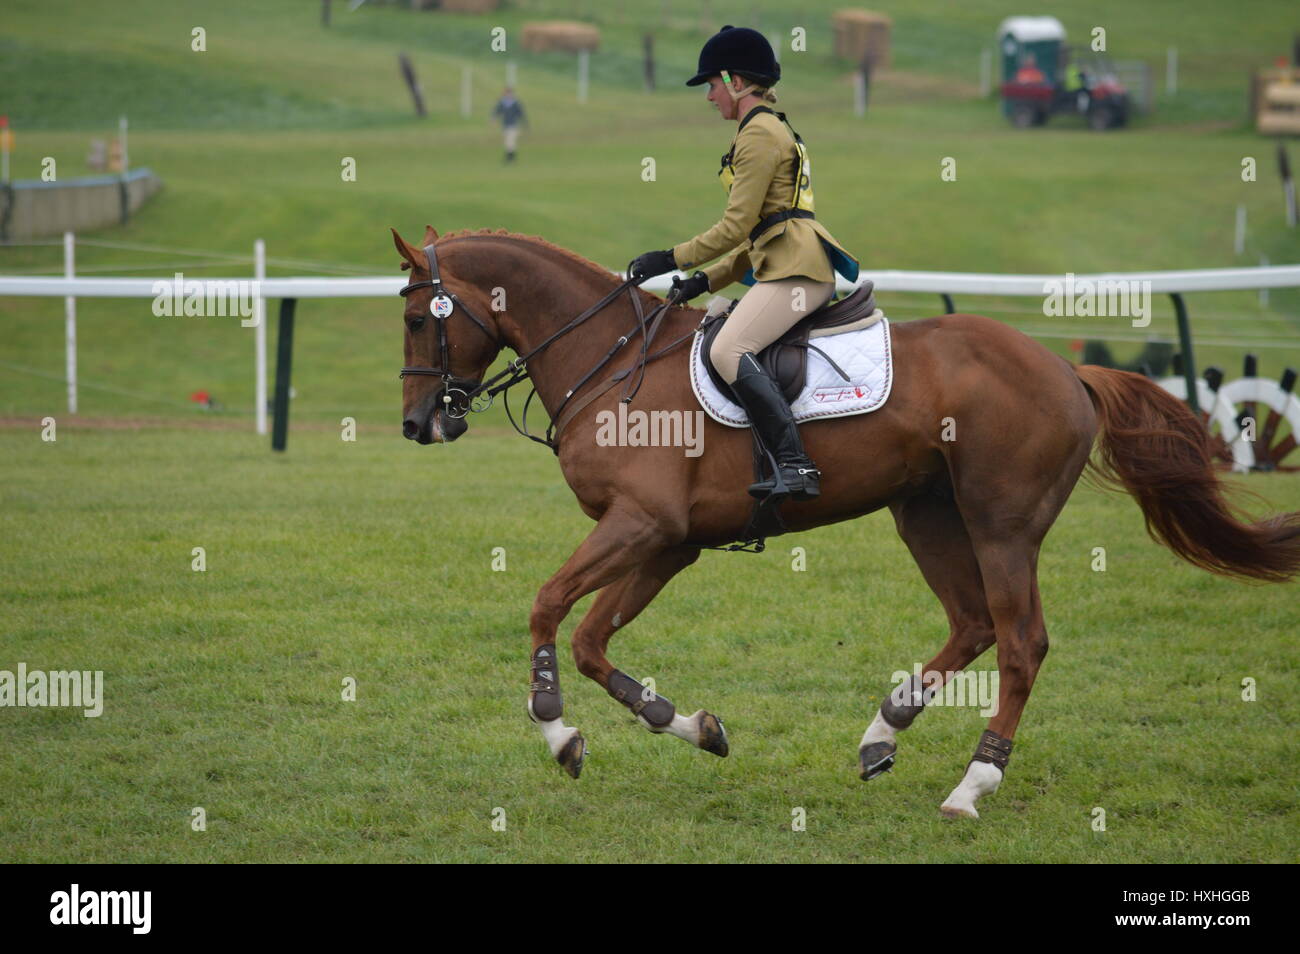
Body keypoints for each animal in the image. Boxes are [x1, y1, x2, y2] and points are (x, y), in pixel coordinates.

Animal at [391, 225, 1300, 819]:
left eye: (412, 318)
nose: (415, 426)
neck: (610, 359)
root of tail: (1069, 370)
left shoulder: (641, 527)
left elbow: (548, 607)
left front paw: (556, 730)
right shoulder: (669, 543)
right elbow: (589, 640)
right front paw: (691, 727)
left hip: (1001, 526)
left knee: (1020, 642)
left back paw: (972, 785)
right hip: (924, 514)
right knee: (972, 624)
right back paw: (882, 733)